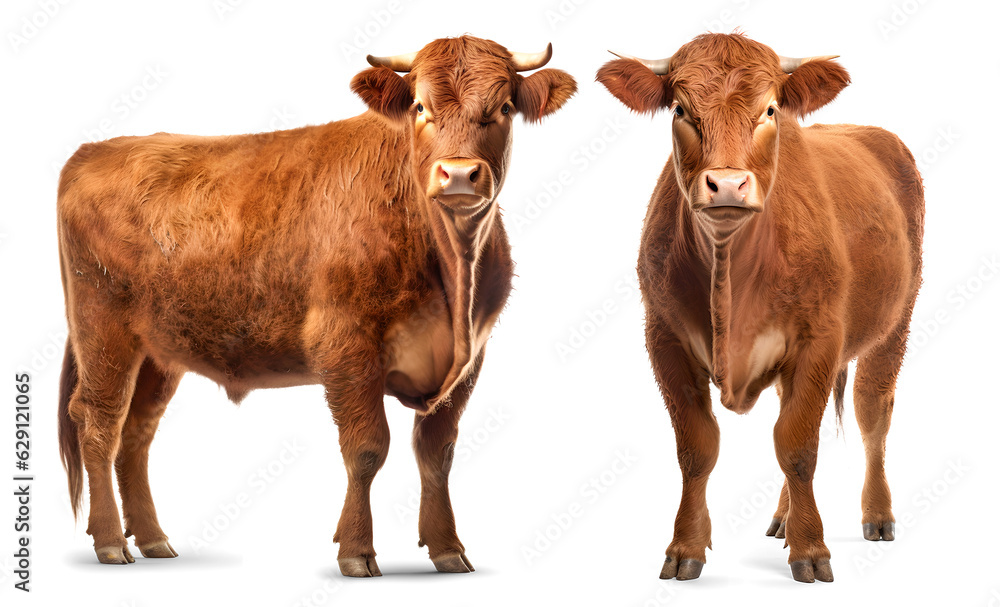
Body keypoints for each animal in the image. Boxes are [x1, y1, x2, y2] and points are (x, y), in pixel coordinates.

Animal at [57, 35, 576, 576]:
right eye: (419, 107)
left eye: (504, 108)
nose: (458, 174)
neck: (452, 270)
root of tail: (98, 150)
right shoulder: (345, 343)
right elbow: (367, 448)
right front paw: (357, 551)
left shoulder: (470, 357)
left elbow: (437, 453)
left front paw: (448, 549)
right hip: (103, 331)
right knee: (98, 422)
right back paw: (111, 542)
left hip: (160, 350)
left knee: (137, 433)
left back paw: (154, 539)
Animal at [597, 33, 923, 583]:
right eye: (680, 109)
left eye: (769, 109)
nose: (728, 184)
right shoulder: (662, 336)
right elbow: (697, 447)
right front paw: (685, 546)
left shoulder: (820, 339)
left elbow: (797, 446)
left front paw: (810, 549)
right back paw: (782, 517)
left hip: (896, 322)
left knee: (872, 412)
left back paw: (877, 516)